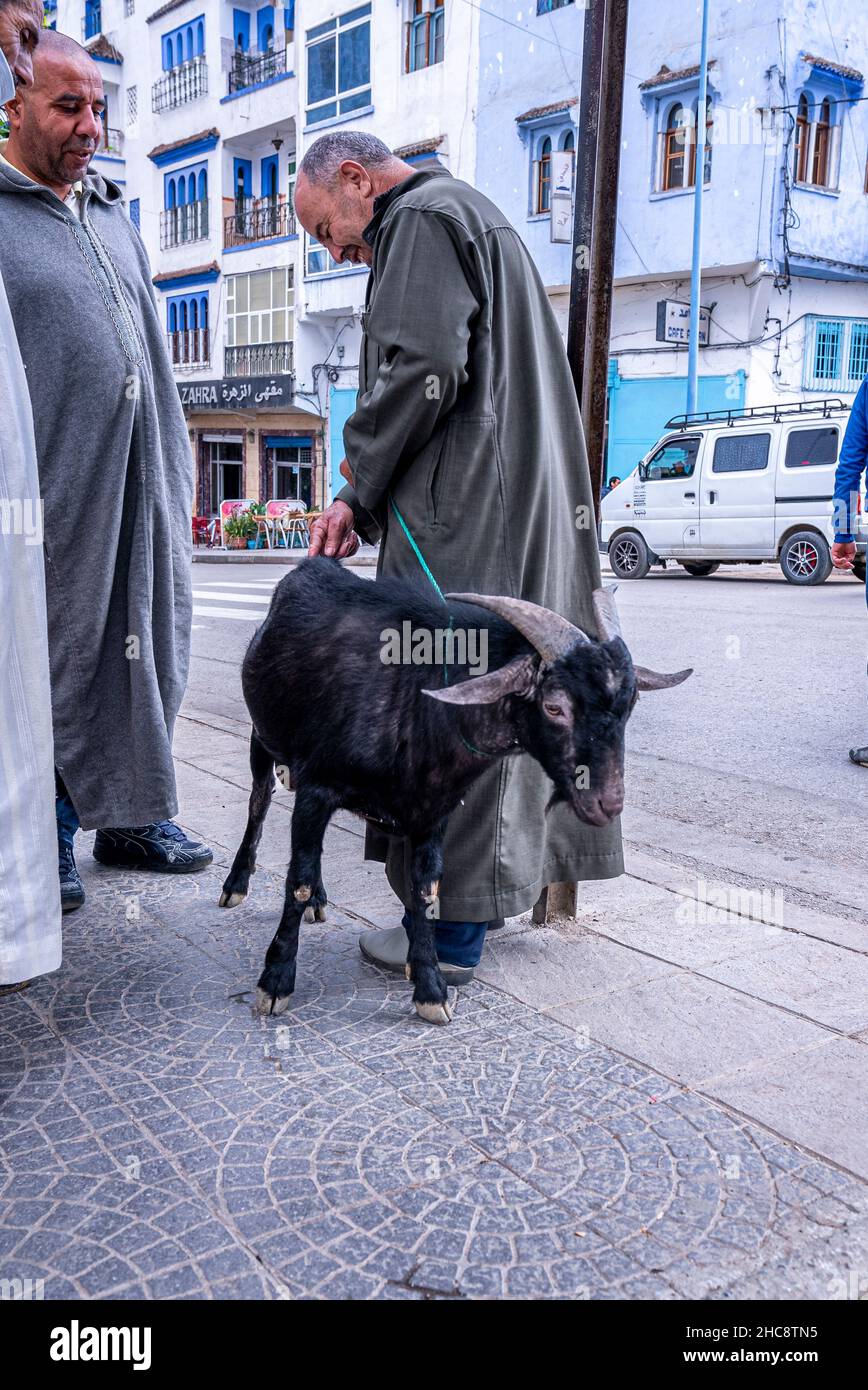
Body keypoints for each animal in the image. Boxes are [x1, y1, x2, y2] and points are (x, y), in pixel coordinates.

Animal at [219, 557, 690, 1024]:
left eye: (630, 704)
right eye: (554, 706)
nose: (608, 803)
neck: (417, 701)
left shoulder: (433, 812)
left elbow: (426, 892)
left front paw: (430, 989)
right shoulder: (318, 789)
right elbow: (295, 881)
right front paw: (275, 982)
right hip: (263, 740)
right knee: (259, 803)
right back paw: (236, 884)